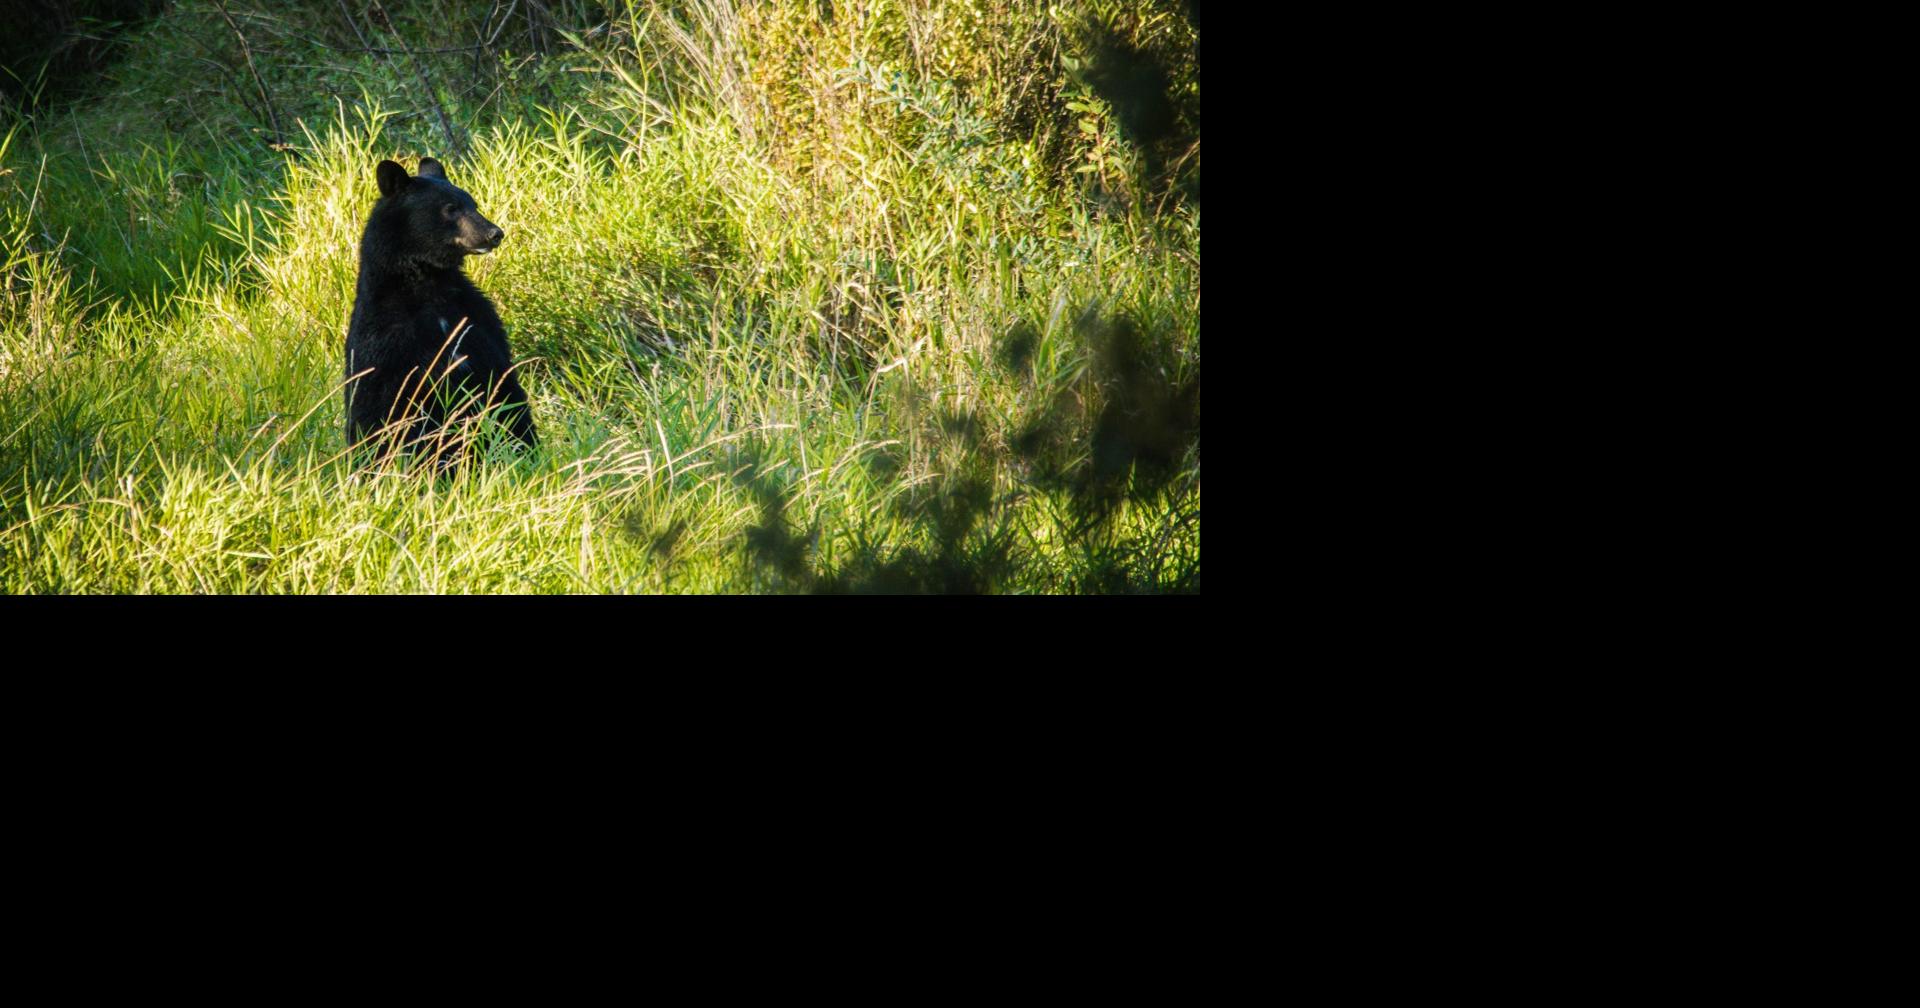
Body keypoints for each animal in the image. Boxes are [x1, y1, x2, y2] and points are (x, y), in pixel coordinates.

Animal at [344, 156, 536, 459]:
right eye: (450, 208)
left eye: (473, 203)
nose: (495, 233)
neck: (428, 285)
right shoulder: (389, 340)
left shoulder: (477, 320)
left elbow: (503, 386)